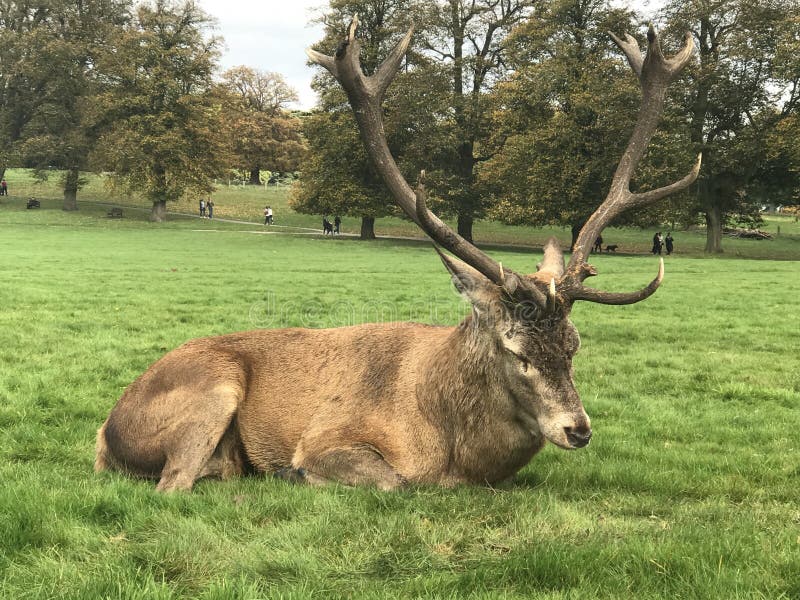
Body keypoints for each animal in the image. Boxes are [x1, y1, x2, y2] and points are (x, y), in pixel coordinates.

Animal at [94, 18, 700, 492]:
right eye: (517, 350)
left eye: (574, 346)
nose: (579, 428)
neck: (455, 457)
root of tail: (103, 433)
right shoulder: (329, 439)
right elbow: (393, 480)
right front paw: (294, 473)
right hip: (213, 390)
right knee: (172, 485)